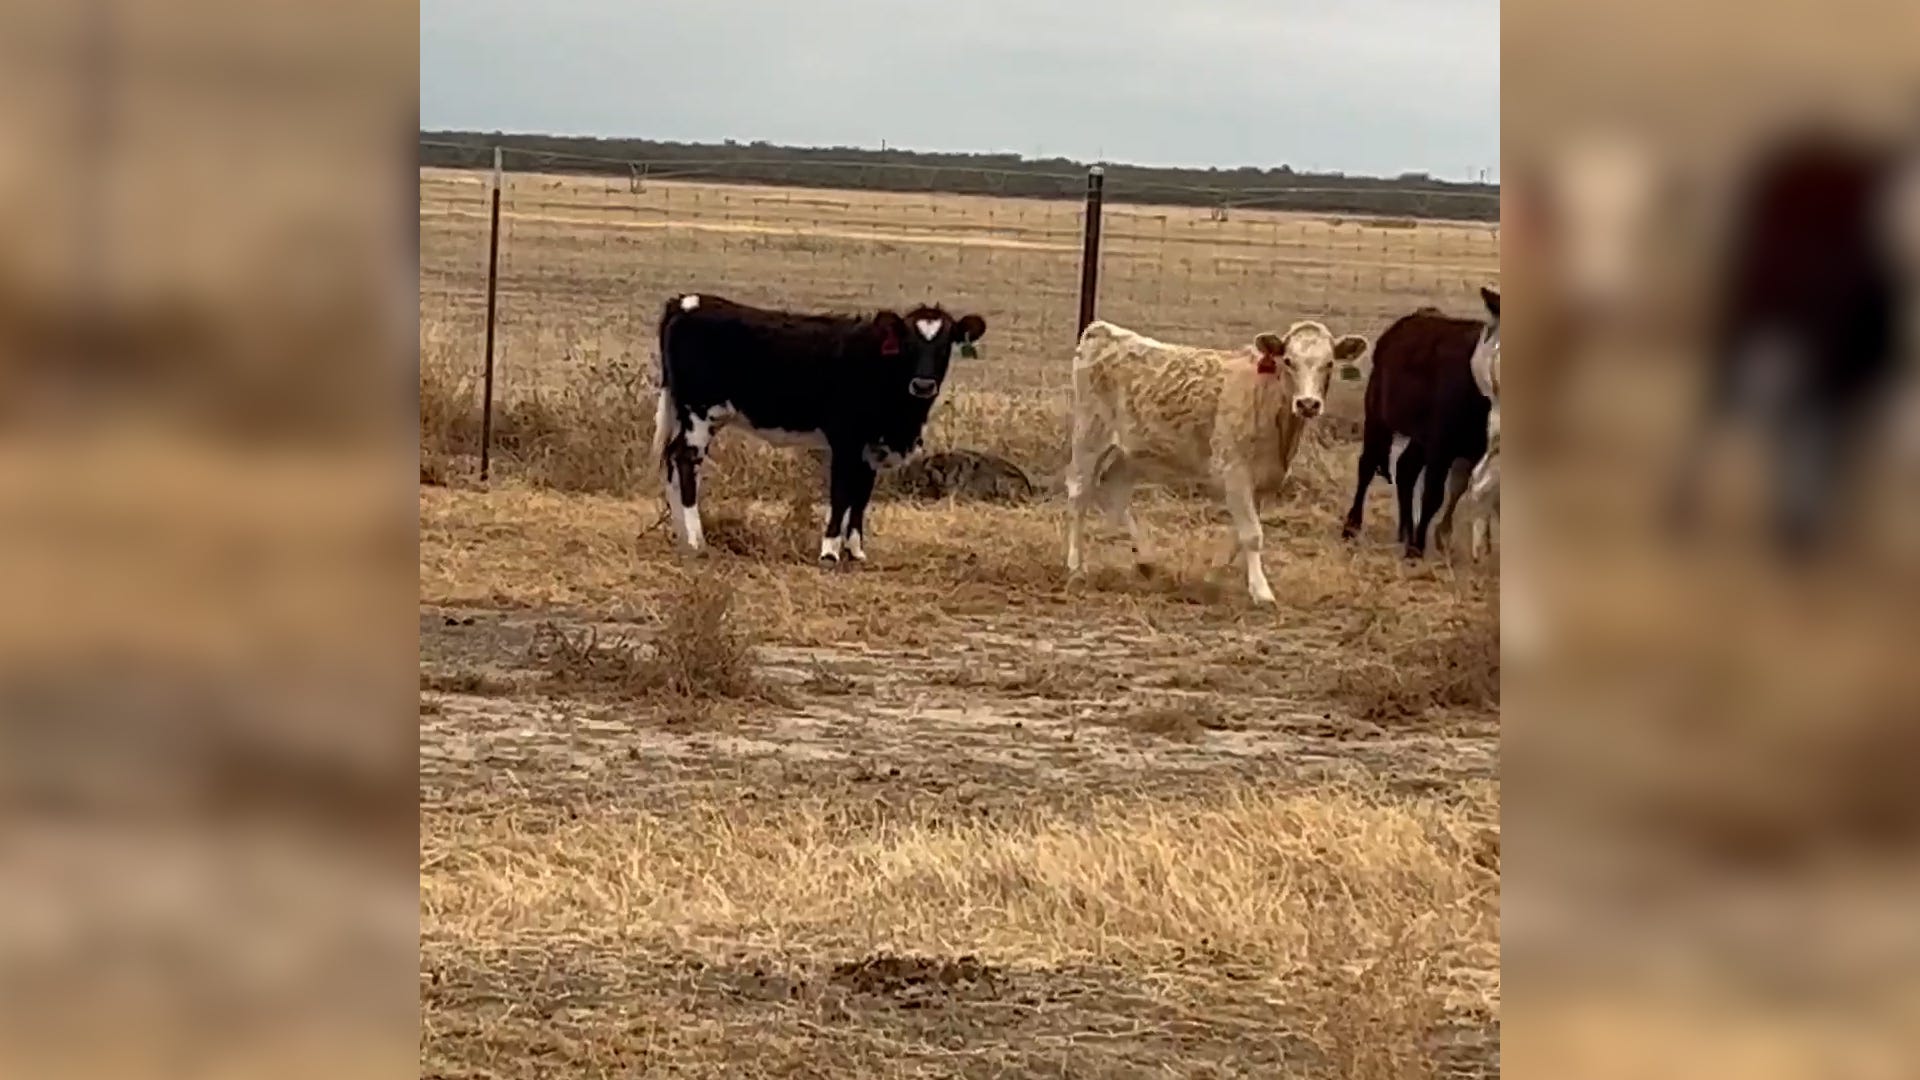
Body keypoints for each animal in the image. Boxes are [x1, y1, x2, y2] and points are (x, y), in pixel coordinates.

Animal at [651, 293, 987, 563]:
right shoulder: (846, 441)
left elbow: (861, 496)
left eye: (945, 345)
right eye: (908, 344)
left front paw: (856, 550)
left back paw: (683, 538)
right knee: (685, 460)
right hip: (699, 414)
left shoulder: (871, 447)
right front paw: (829, 550)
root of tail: (688, 302)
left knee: (672, 460)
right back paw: (696, 541)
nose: (923, 384)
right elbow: (841, 494)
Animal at [1065, 319, 1370, 603]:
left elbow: (1242, 533)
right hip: (1090, 435)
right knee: (1080, 494)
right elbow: (1252, 534)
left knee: (1114, 492)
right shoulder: (1234, 471)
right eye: (1288, 361)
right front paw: (1261, 591)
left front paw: (1214, 574)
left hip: (1131, 452)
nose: (1308, 404)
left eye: (1329, 363)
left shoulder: (1263, 481)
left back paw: (1146, 560)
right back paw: (1075, 565)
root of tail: (1102, 330)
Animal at [1340, 288, 1498, 559]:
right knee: (1368, 465)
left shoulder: (1473, 449)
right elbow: (1433, 495)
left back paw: (1405, 531)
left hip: (1420, 437)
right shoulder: (1441, 446)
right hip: (1378, 415)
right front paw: (1416, 549)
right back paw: (1353, 525)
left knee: (1405, 469)